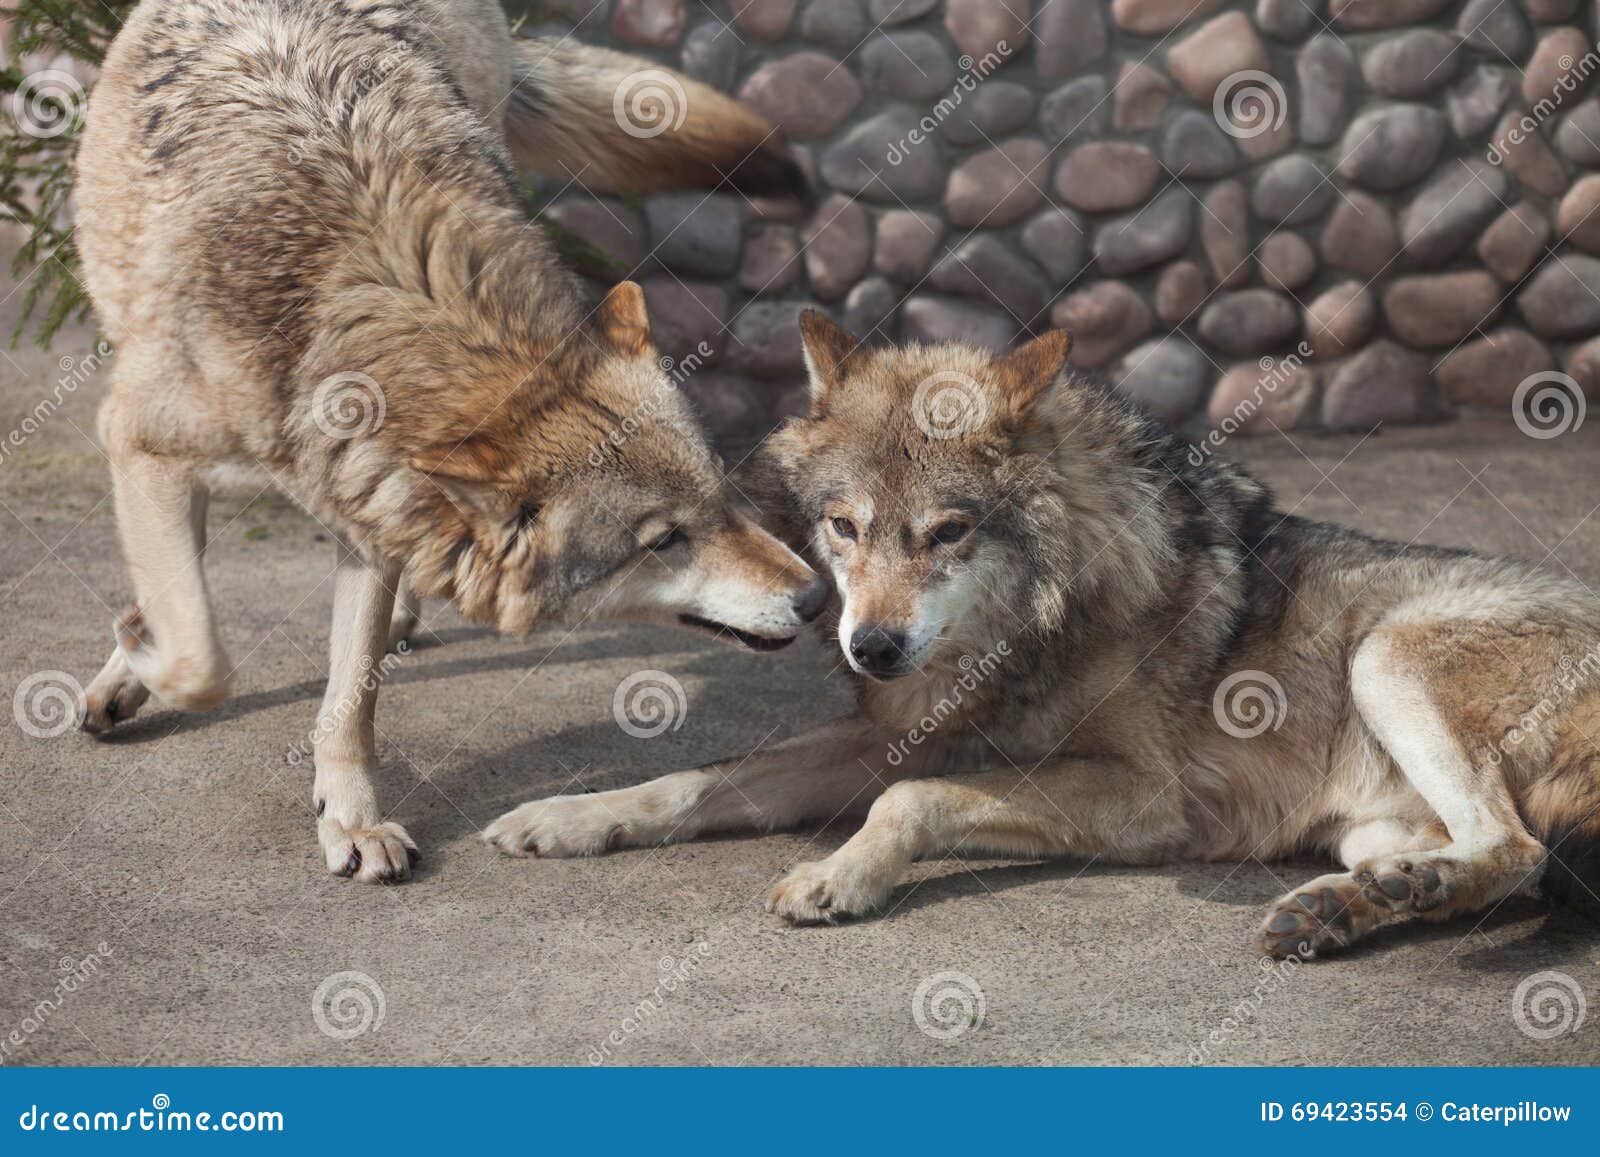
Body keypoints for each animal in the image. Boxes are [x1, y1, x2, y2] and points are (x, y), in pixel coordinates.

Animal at [71, 0, 825, 883]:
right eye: (665, 541)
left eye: (724, 499)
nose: (817, 596)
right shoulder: (139, 443)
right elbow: (203, 661)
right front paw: (143, 651)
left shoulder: (368, 499)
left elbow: (351, 699)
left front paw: (353, 820)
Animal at [487, 312, 1600, 959]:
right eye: (845, 527)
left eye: (948, 531)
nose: (870, 648)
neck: (1026, 629)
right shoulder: (886, 732)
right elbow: (699, 777)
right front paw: (568, 817)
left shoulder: (1147, 797)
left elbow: (912, 797)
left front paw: (839, 874)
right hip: (1367, 818)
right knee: (1481, 859)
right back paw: (1353, 907)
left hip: (1386, 658)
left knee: (1516, 851)